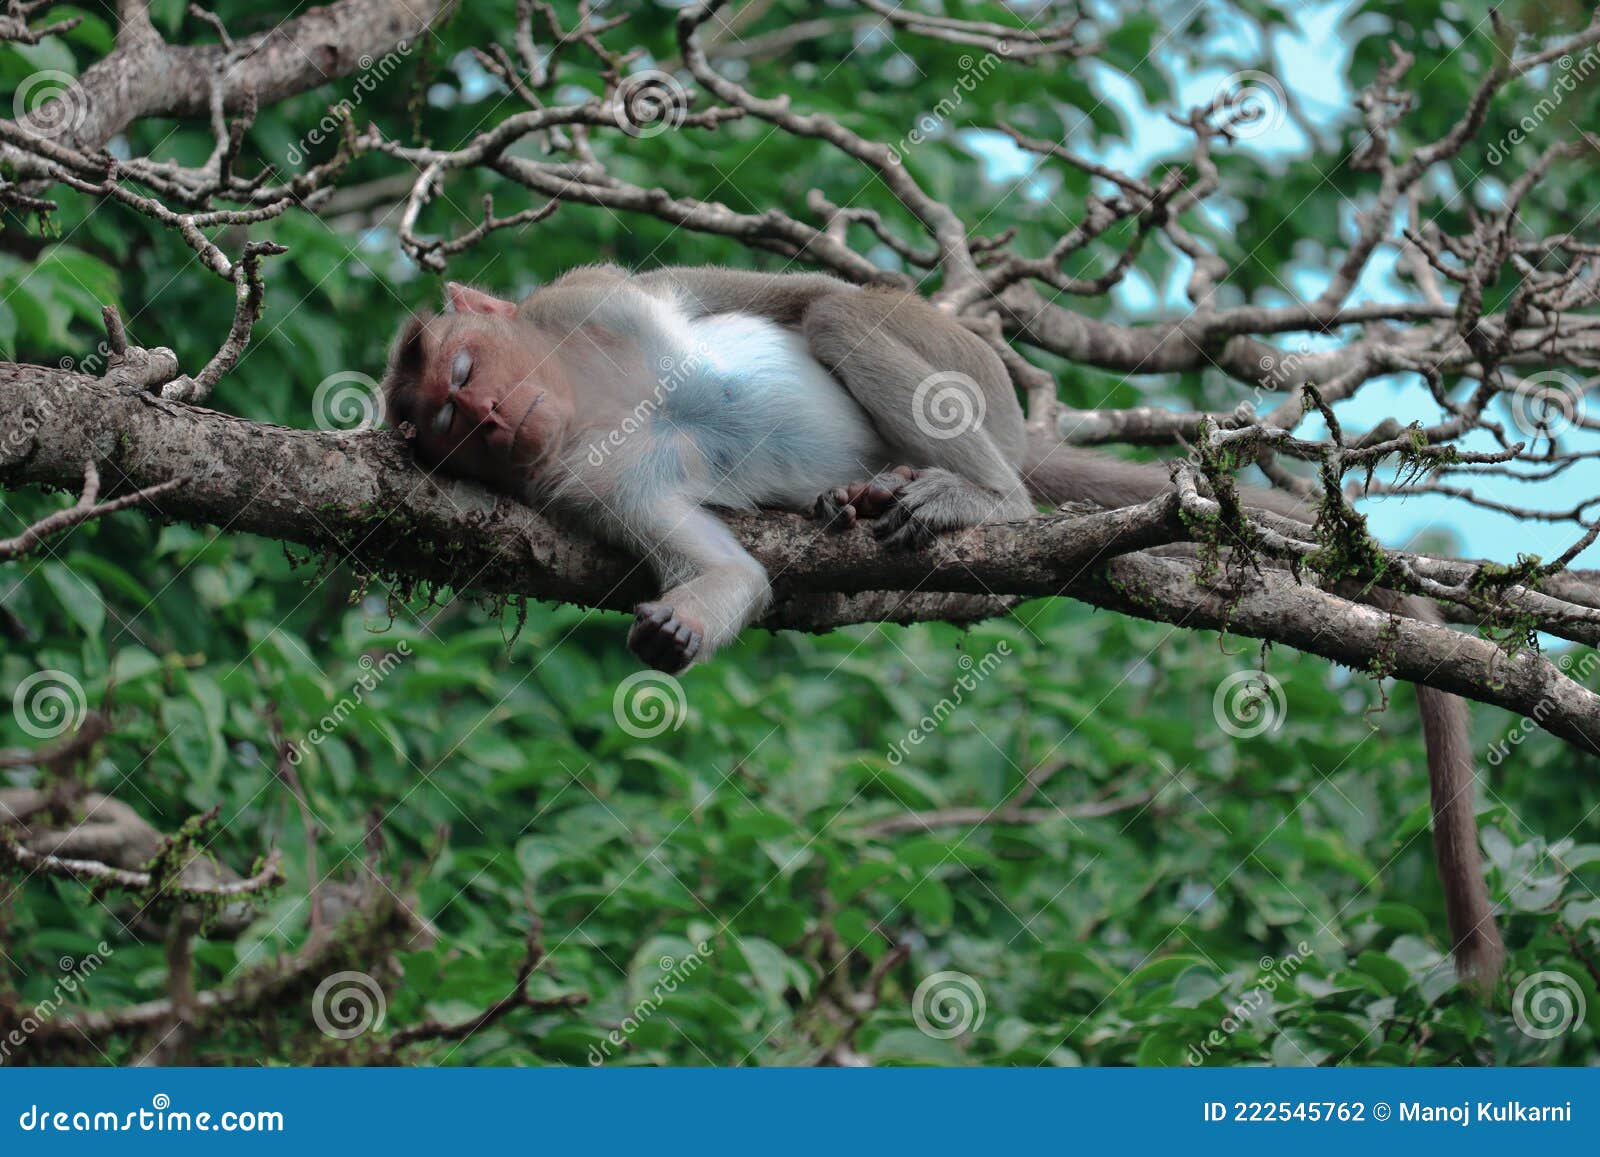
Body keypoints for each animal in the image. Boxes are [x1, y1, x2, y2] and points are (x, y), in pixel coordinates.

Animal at [379, 263, 1503, 984]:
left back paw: (982, 497)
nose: (487, 420)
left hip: (968, 377)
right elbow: (726, 570)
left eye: (463, 376)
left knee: (842, 315)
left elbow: (755, 294)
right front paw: (680, 629)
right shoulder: (586, 486)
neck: (585, 397)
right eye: (441, 428)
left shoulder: (591, 300)